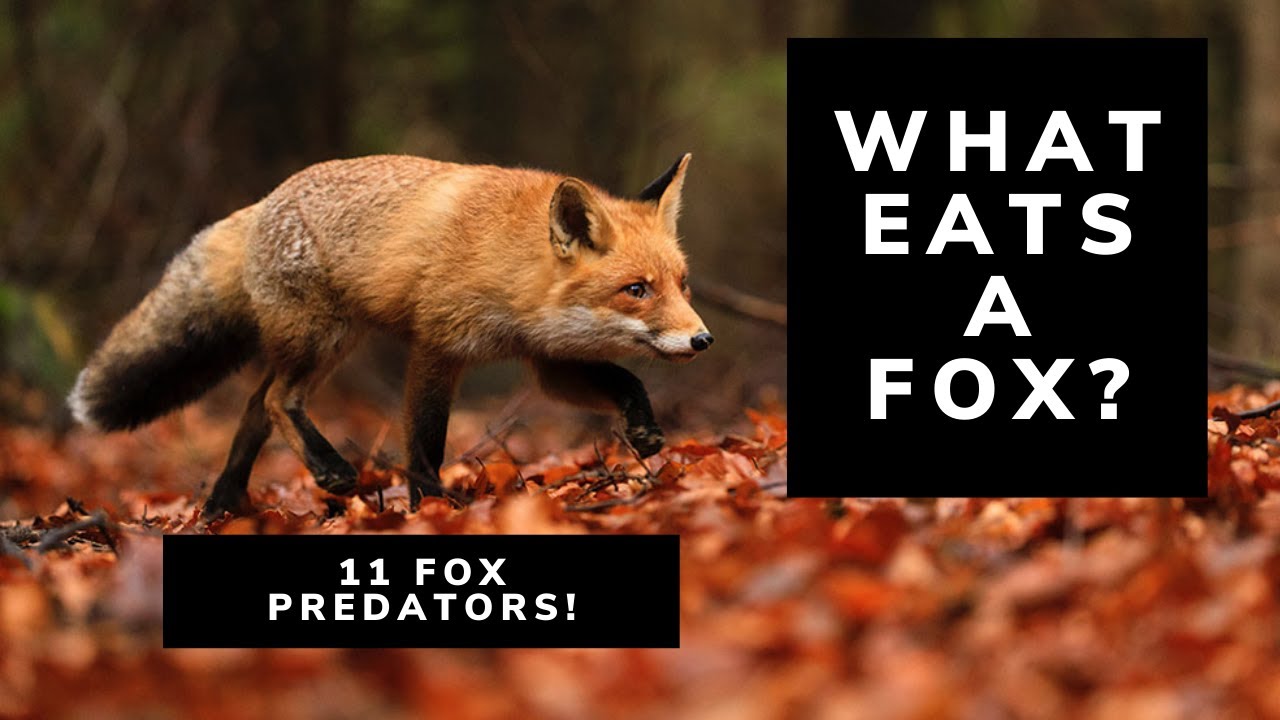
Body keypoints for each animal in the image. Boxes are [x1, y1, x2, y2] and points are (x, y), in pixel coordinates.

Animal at [69, 154, 712, 518]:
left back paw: (223, 506)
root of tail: (262, 202)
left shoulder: (546, 358)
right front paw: (429, 507)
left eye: (682, 284)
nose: (702, 340)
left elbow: (625, 379)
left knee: (253, 406)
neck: (509, 262)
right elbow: (424, 444)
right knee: (275, 400)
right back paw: (328, 471)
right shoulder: (436, 345)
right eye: (637, 289)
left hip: (323, 342)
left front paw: (643, 428)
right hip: (322, 338)